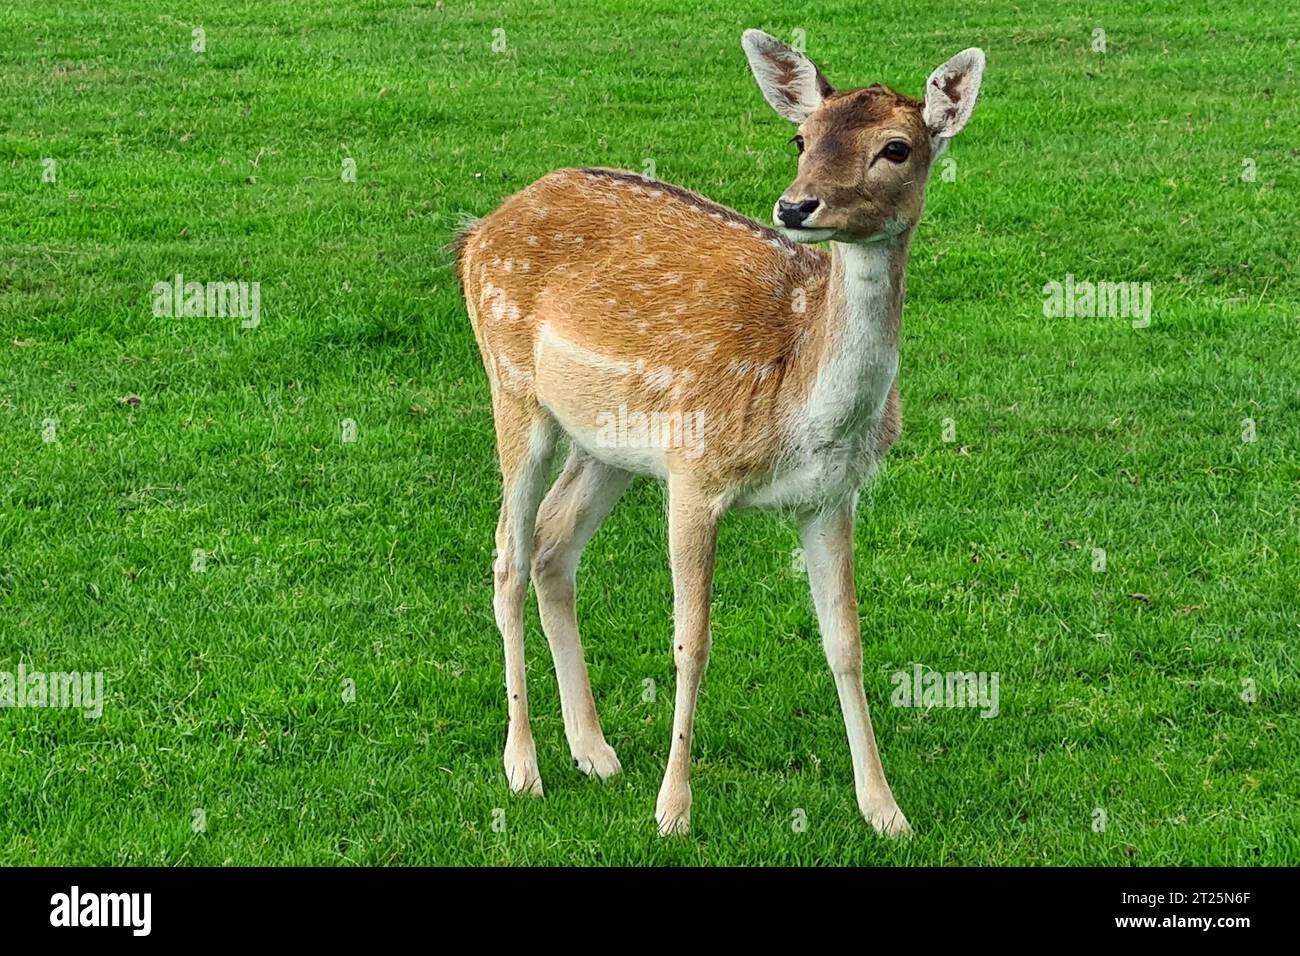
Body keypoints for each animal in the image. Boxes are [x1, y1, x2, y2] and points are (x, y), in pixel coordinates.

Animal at [455, 29, 985, 837]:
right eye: (801, 137)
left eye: (896, 147)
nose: (796, 205)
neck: (799, 403)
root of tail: (474, 234)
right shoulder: (695, 474)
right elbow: (692, 642)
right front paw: (673, 810)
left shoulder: (831, 495)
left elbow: (847, 643)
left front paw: (885, 811)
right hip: (514, 388)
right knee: (508, 557)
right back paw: (525, 767)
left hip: (608, 444)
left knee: (551, 545)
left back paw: (594, 751)